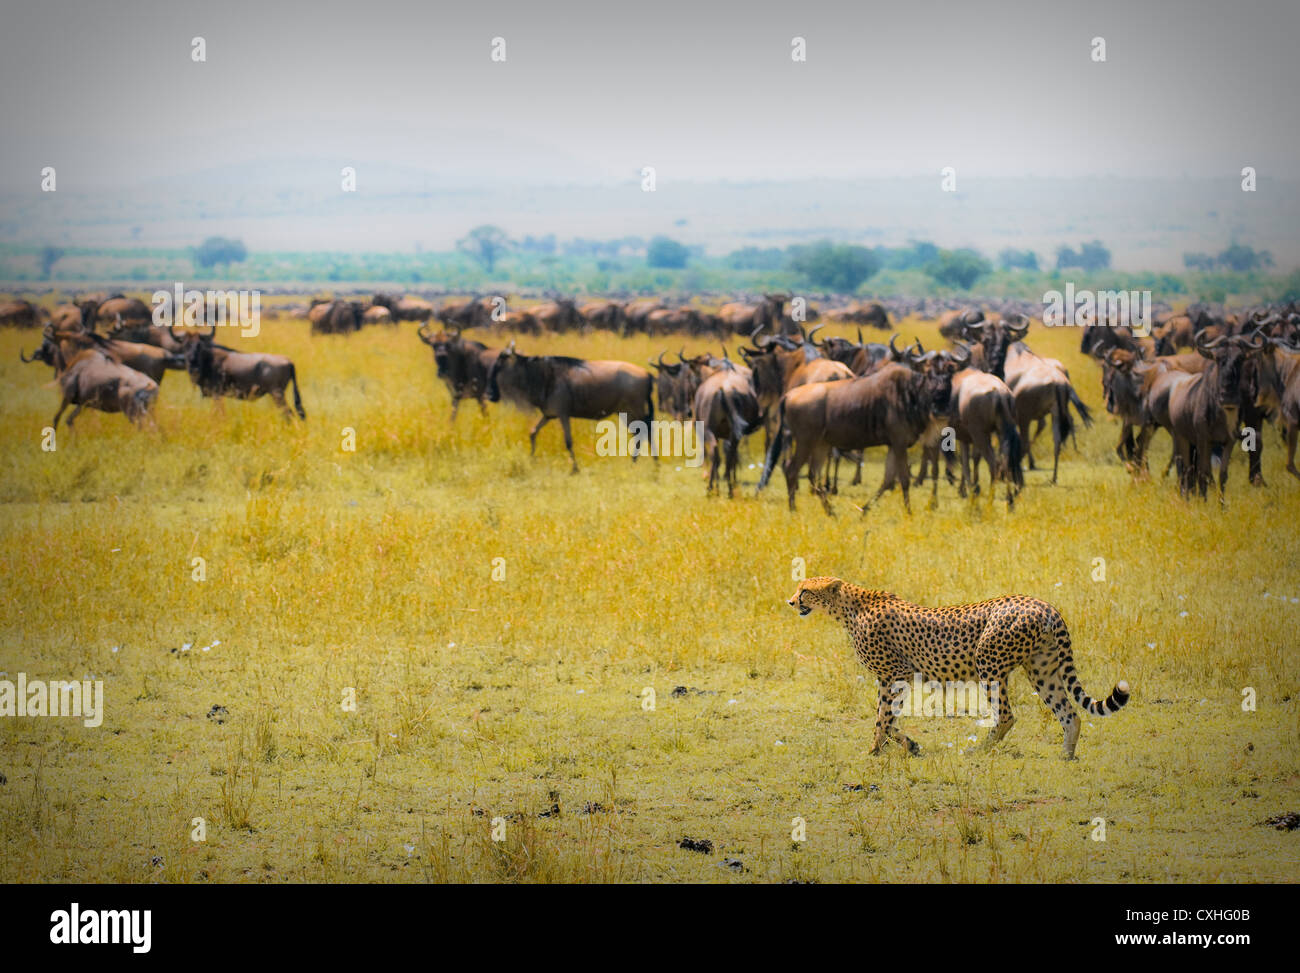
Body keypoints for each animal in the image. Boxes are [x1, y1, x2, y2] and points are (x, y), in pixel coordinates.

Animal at [788, 576, 1130, 758]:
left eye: (805, 590)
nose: (791, 602)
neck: (850, 607)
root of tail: (1043, 605)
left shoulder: (896, 674)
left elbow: (883, 718)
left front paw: (873, 750)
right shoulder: (893, 678)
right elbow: (888, 718)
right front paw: (908, 745)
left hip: (988, 663)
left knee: (1006, 715)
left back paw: (977, 752)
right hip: (1042, 670)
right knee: (1069, 713)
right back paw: (1066, 757)